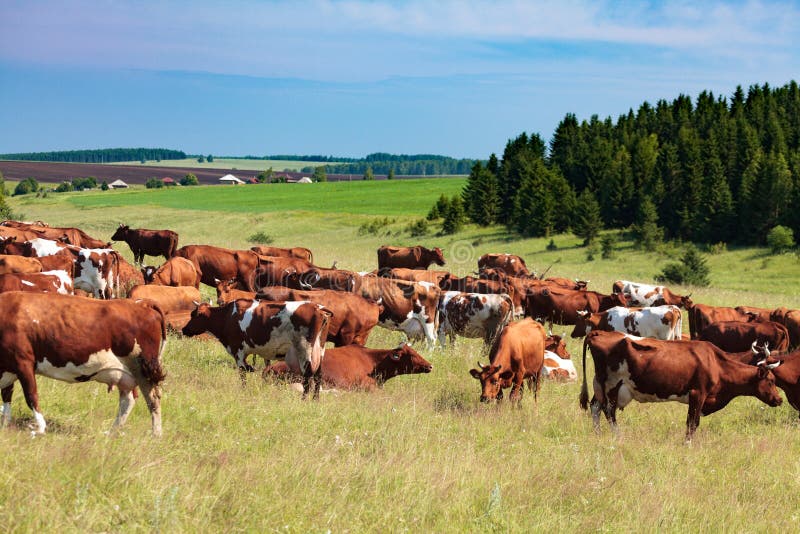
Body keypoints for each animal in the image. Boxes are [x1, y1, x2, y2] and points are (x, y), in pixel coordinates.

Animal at [0, 292, 165, 435]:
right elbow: (7, 396)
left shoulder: (23, 362)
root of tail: (141, 303)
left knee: (153, 399)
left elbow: (31, 396)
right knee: (128, 400)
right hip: (125, 375)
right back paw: (111, 433)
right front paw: (5, 425)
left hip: (144, 368)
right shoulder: (9, 368)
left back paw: (156, 434)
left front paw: (40, 429)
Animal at [181, 300, 332, 398]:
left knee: (307, 376)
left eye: (193, 315)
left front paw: (243, 391)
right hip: (319, 350)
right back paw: (315, 399)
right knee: (318, 376)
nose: (184, 329)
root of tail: (318, 308)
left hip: (304, 350)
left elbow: (242, 374)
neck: (227, 317)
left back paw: (304, 399)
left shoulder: (238, 351)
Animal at [580, 330, 782, 442]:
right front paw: (687, 445)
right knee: (609, 412)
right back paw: (618, 437)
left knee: (595, 407)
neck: (716, 363)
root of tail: (598, 332)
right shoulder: (697, 394)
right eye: (771, 381)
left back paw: (598, 435)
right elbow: (692, 423)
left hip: (600, 386)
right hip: (613, 386)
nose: (779, 400)